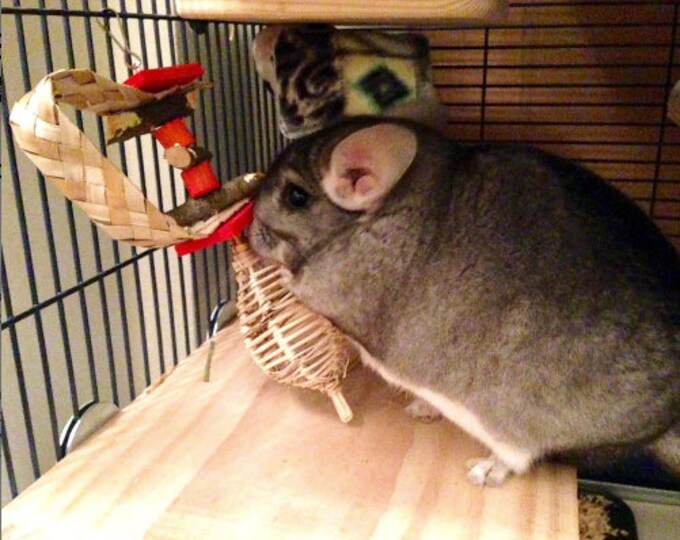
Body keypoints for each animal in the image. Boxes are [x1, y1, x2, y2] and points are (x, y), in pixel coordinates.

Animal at [248, 117, 680, 486]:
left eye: (296, 196)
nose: (250, 232)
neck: (373, 218)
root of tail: (663, 423)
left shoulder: (334, 286)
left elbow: (298, 282)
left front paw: (278, 274)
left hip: (511, 421)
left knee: (520, 456)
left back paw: (484, 469)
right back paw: (423, 408)